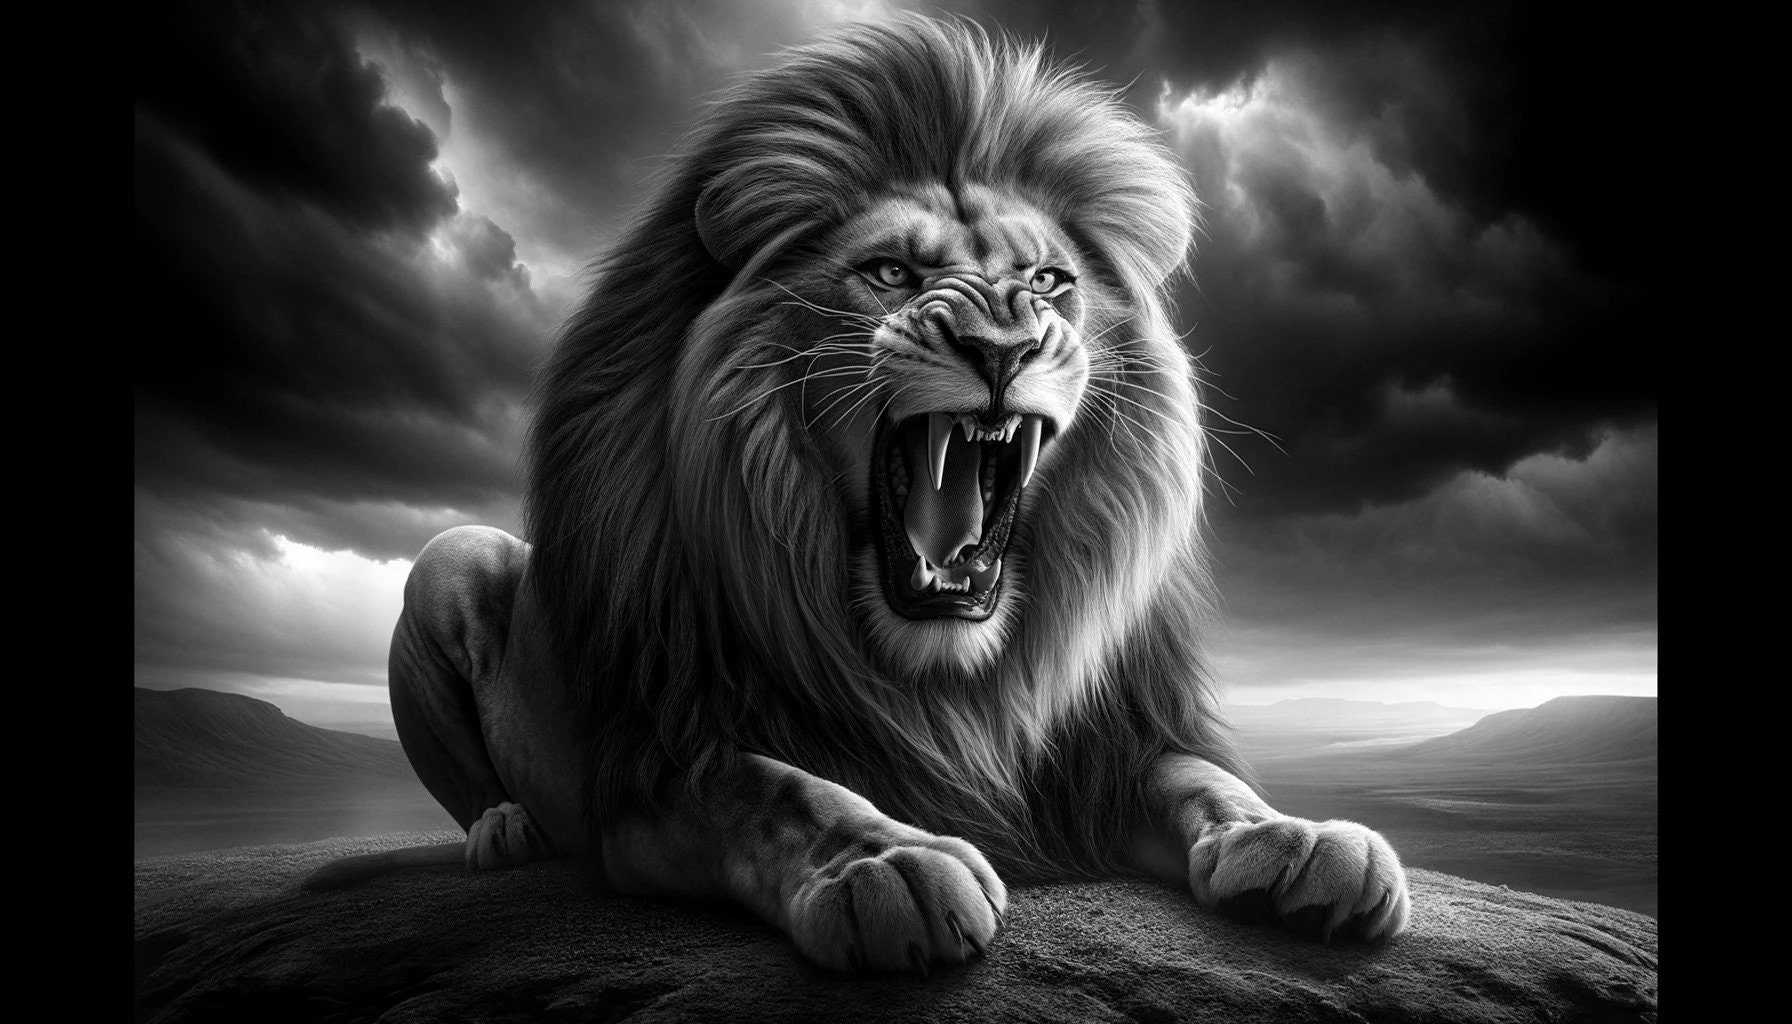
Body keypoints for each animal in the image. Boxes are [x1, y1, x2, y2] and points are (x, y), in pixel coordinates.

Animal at [310, 17, 1410, 971]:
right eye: (887, 272)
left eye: (1050, 282)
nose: (1003, 346)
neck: (947, 679)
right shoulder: (660, 758)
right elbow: (776, 788)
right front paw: (892, 864)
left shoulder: (1103, 748)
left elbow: (1202, 778)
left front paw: (1300, 838)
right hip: (452, 556)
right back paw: (504, 828)